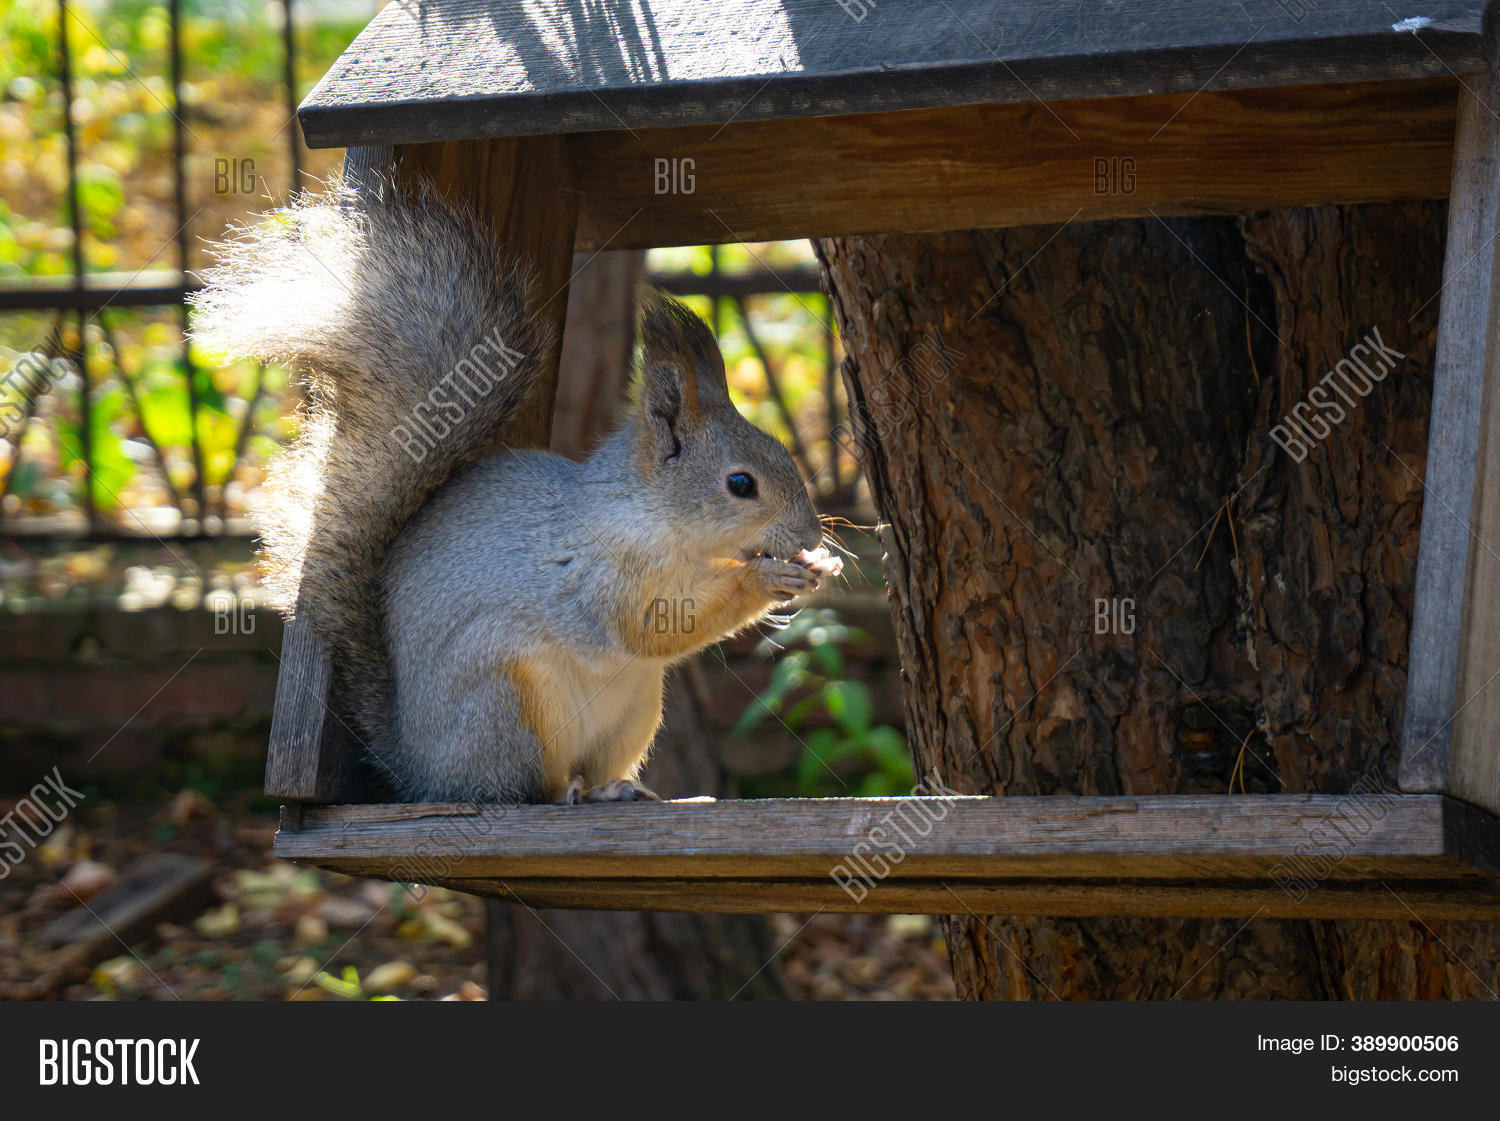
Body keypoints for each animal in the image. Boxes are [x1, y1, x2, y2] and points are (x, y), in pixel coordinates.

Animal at [191, 177, 841, 804]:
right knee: (524, 786)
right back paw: (566, 791)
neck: (655, 515)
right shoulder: (602, 574)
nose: (810, 533)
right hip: (512, 696)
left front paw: (813, 569)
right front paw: (768, 578)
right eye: (740, 484)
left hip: (635, 711)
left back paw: (615, 787)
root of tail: (421, 766)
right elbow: (655, 625)